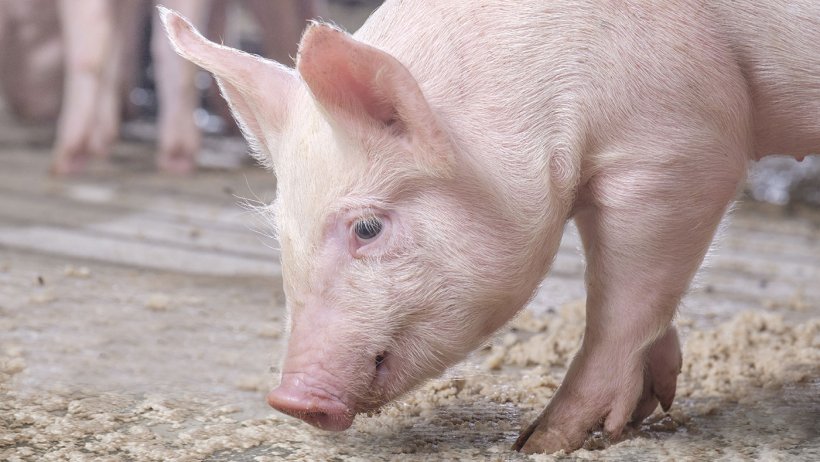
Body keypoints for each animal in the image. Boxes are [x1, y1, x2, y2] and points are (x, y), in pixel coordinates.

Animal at [160, 0, 820, 454]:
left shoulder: (680, 145)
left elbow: (623, 299)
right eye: (282, 234)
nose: (289, 399)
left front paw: (541, 444)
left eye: (367, 228)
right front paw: (644, 405)